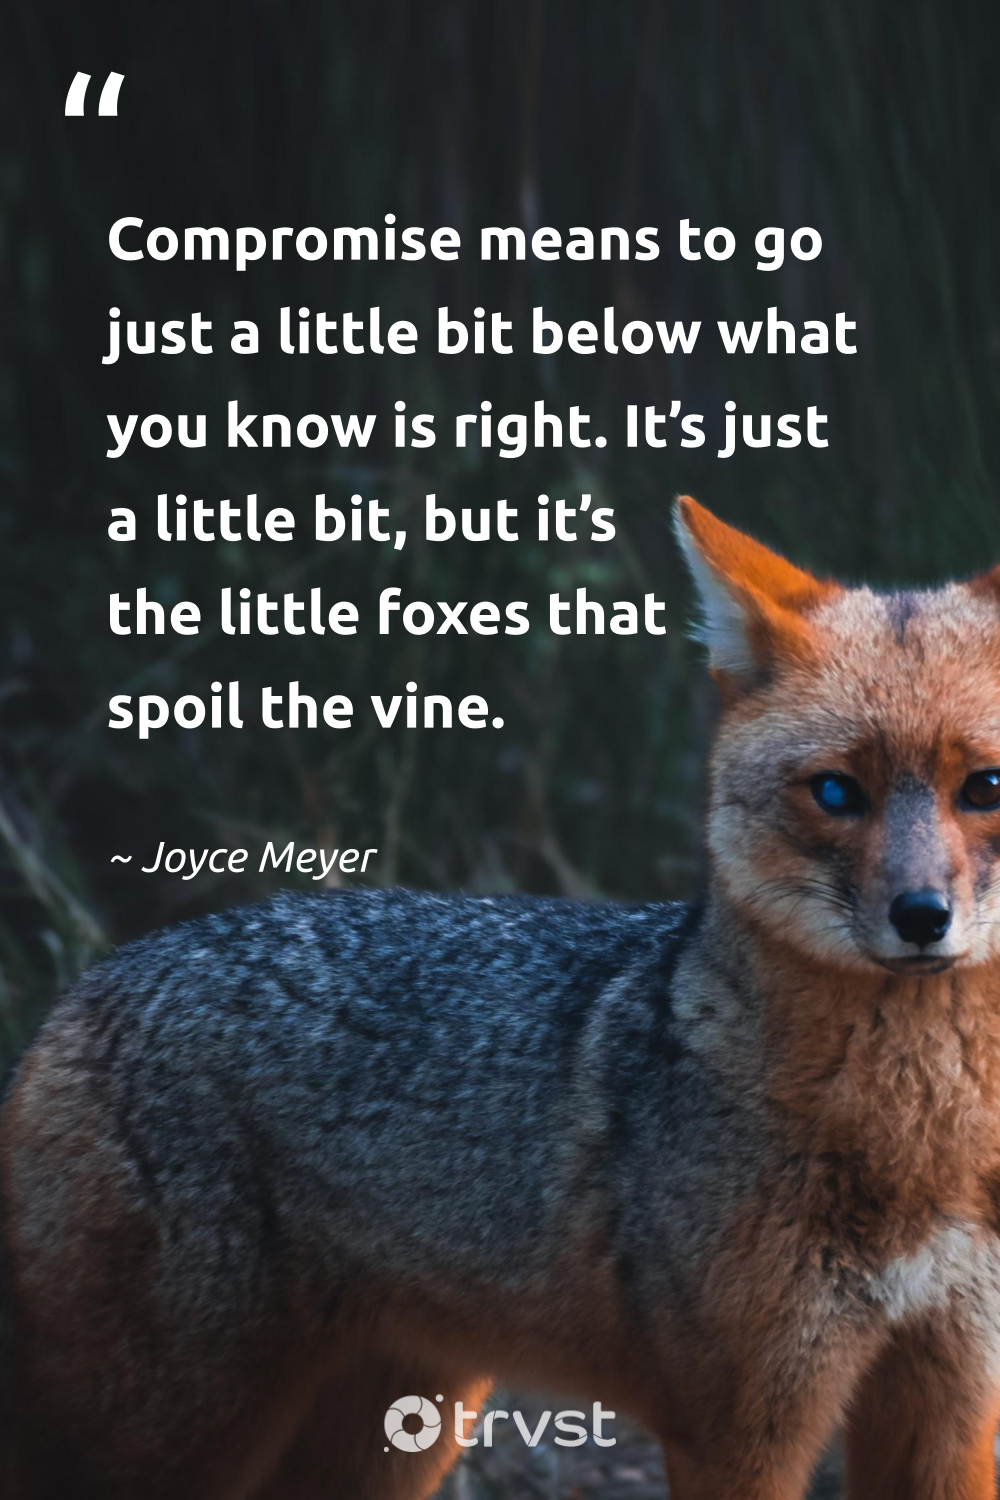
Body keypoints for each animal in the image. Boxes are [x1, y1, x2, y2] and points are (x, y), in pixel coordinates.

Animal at [6, 496, 1000, 1499]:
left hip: (395, 1435)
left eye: (985, 786)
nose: (923, 917)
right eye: (836, 792)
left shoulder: (951, 1405)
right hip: (180, 1437)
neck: (914, 1140)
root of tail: (83, 991)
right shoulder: (738, 1431)